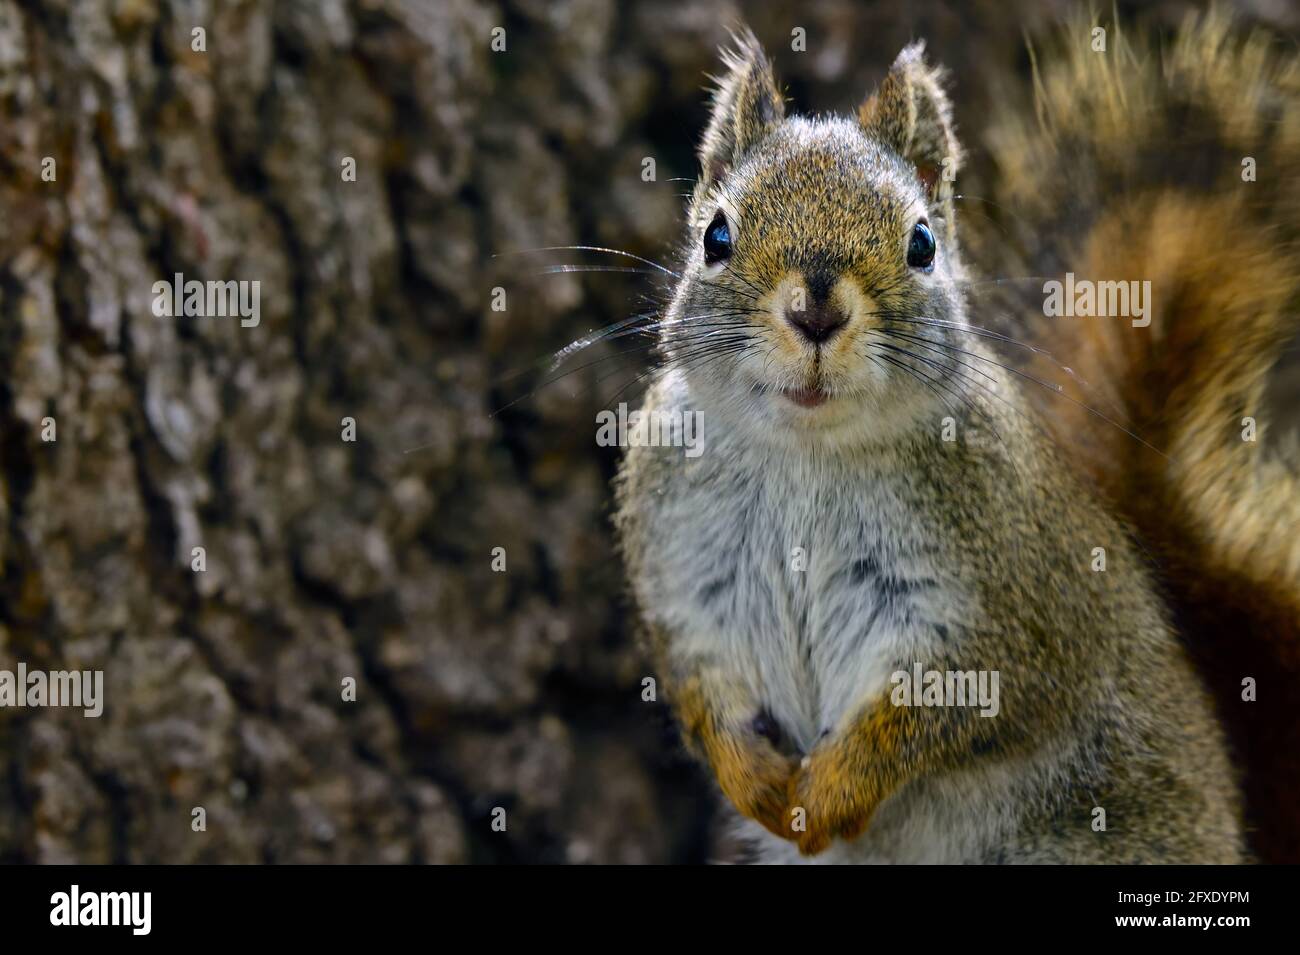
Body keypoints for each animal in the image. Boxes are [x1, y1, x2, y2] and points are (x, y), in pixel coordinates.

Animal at [615, 11, 1298, 863]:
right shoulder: (688, 583)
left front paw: (835, 789)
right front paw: (755, 783)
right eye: (714, 235)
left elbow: (935, 713)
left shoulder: (998, 612)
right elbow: (702, 691)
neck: (810, 451)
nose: (815, 310)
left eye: (922, 244)